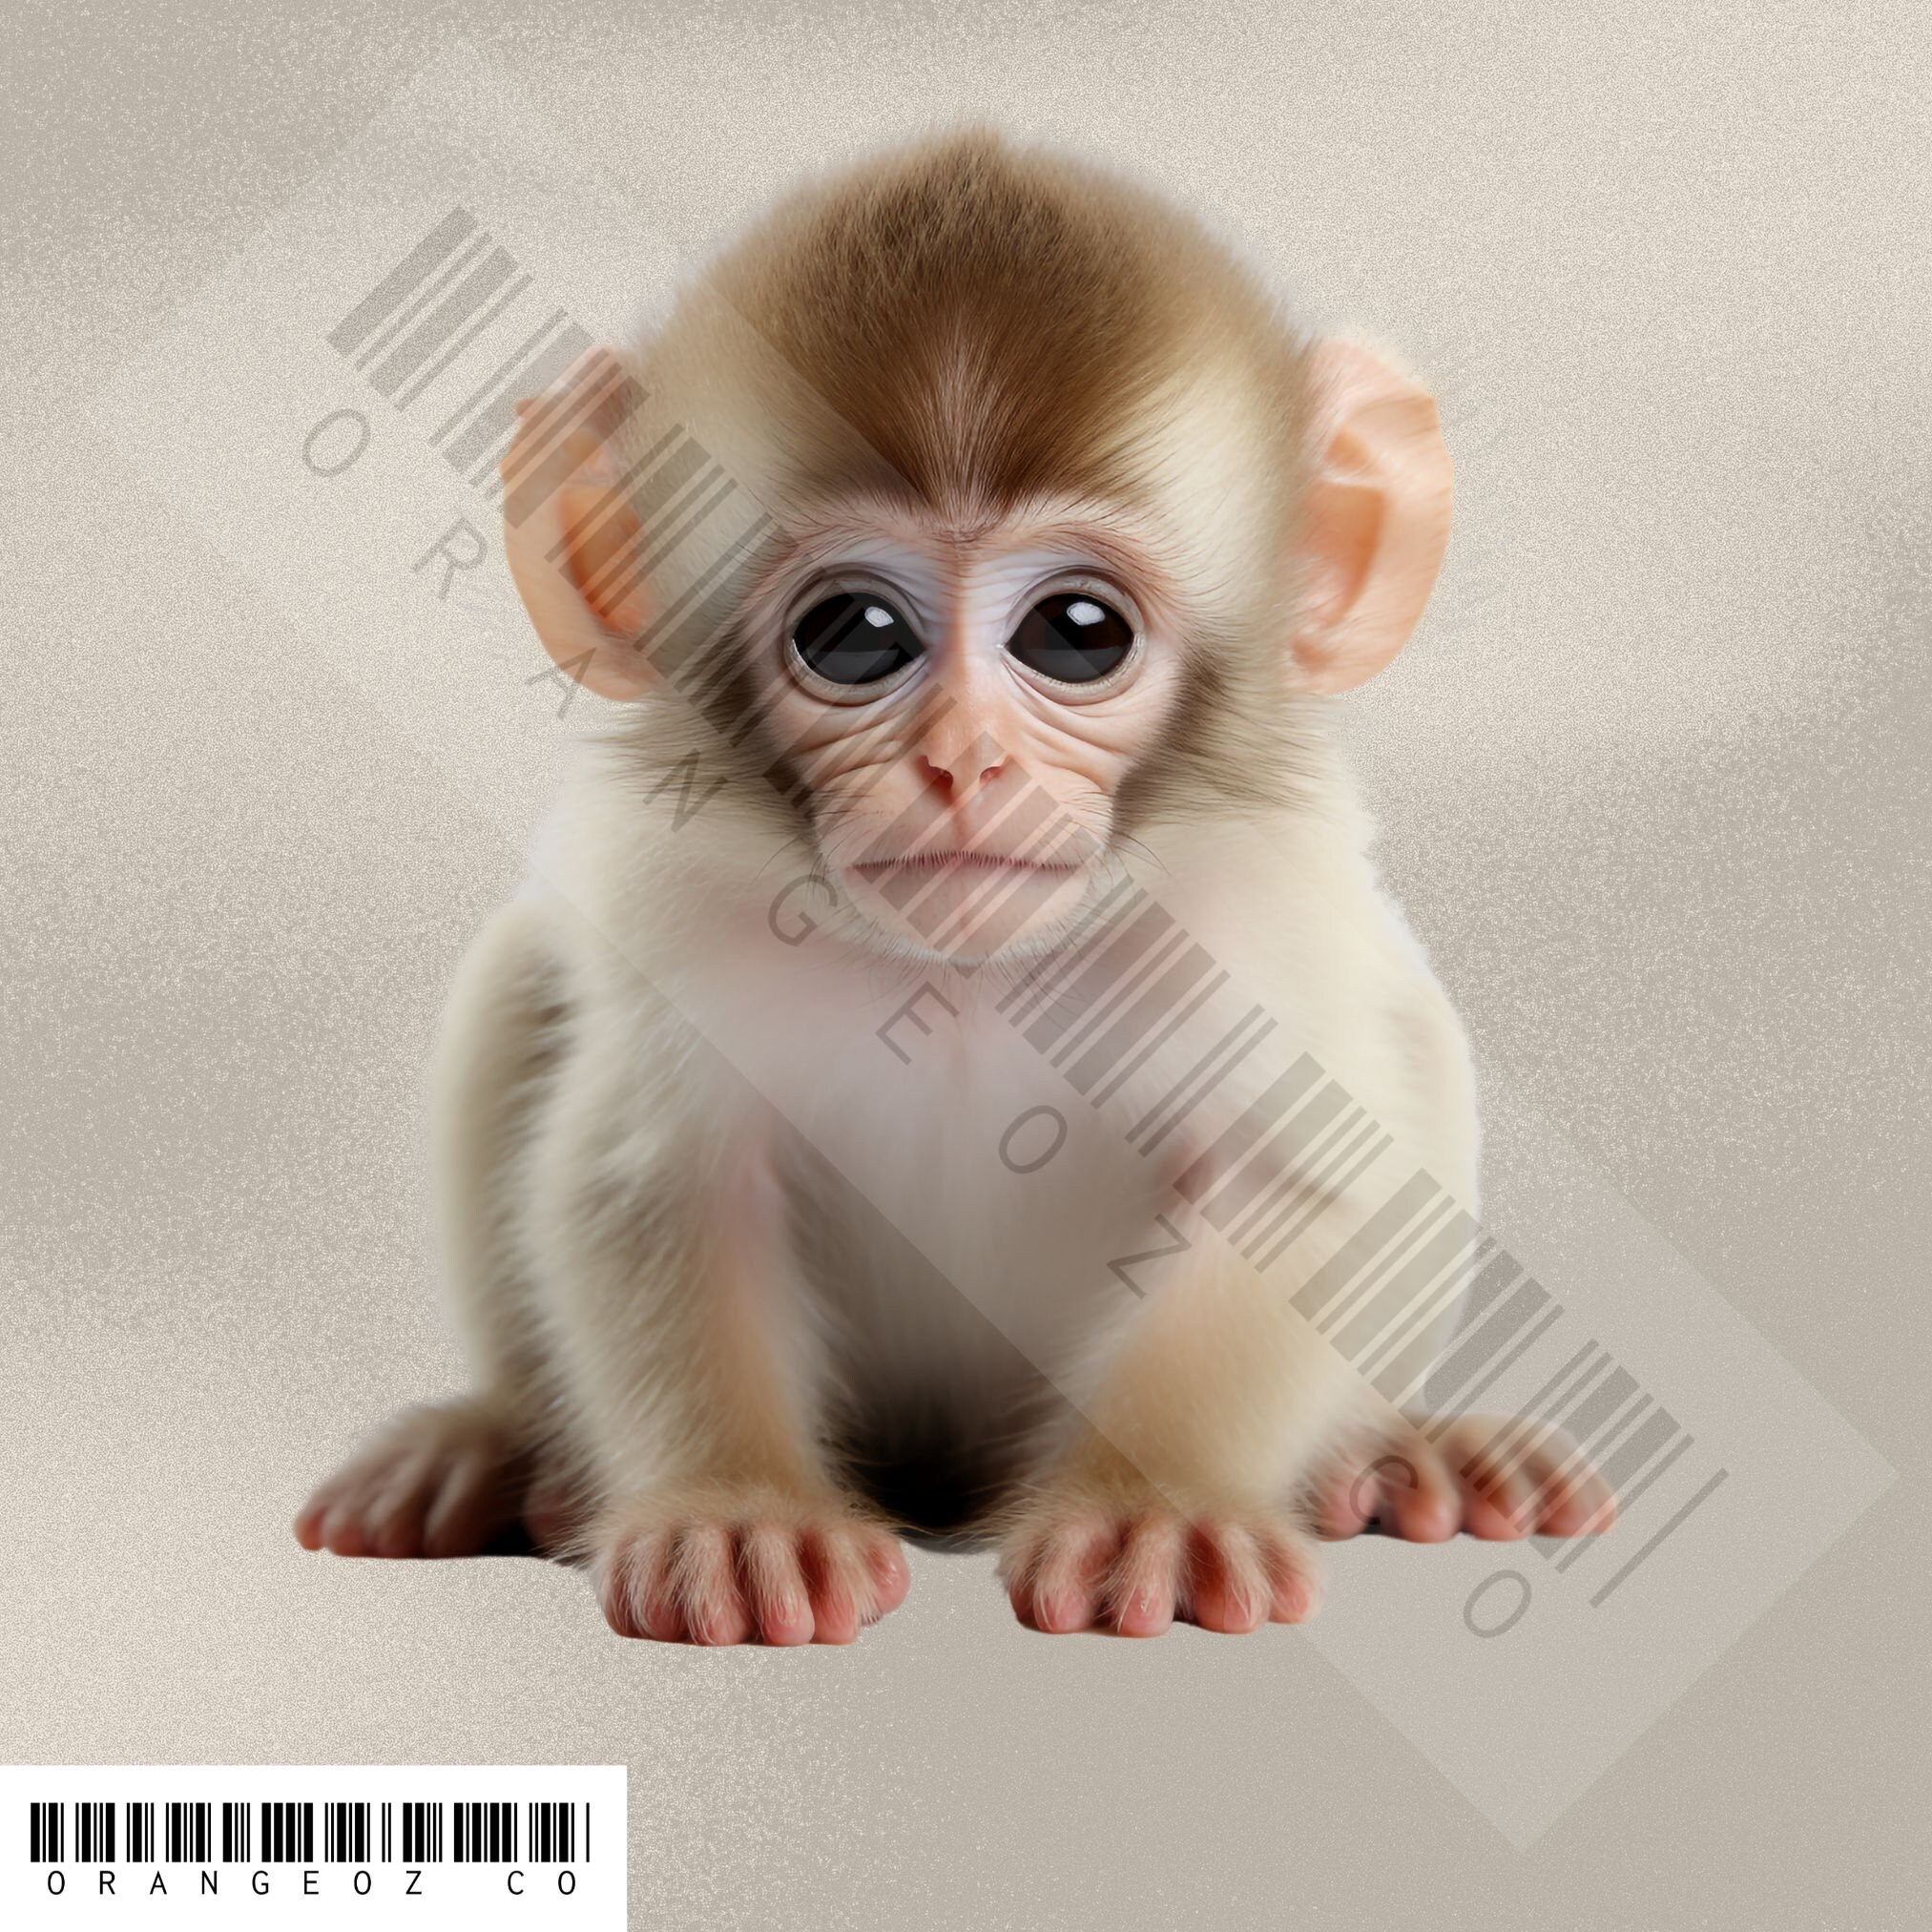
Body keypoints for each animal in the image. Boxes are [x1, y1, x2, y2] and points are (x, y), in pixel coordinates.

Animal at [294, 129, 1615, 1644]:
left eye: (1076, 633)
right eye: (855, 635)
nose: (965, 762)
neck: (968, 986)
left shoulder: (1259, 906)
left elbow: (1303, 1187)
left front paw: (1150, 1507)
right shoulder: (672, 899)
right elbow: (658, 1180)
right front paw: (738, 1514)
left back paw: (1410, 1453)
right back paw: (494, 1451)